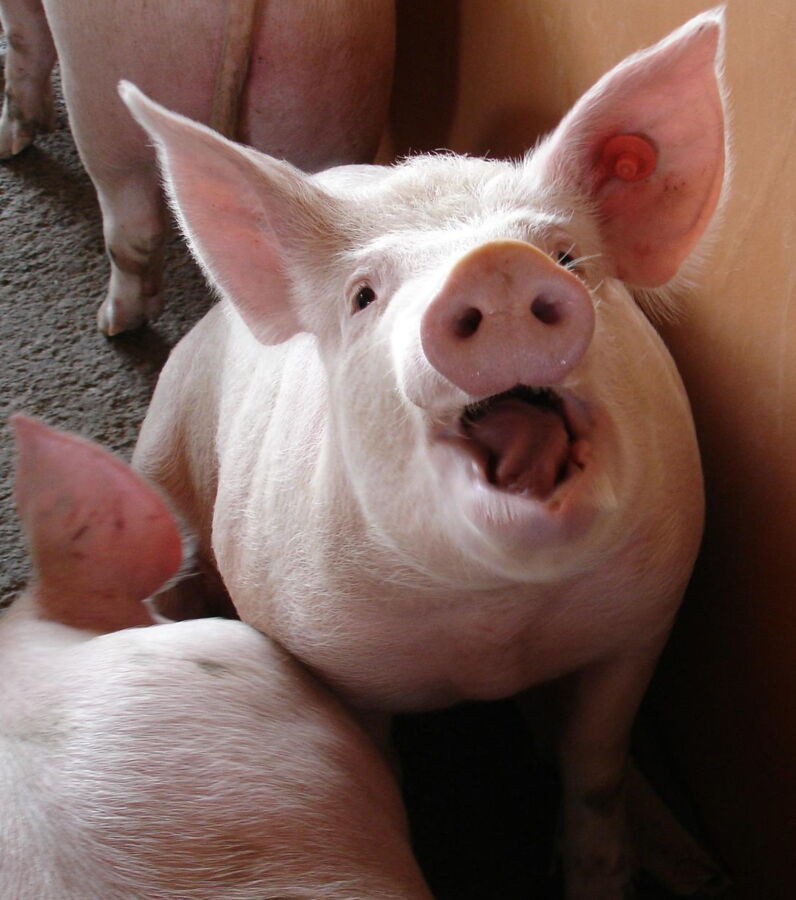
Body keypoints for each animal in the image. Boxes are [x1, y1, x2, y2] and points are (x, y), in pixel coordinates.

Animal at [0, 0, 395, 335]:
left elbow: (21, 35)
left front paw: (10, 145)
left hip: (103, 95)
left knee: (133, 232)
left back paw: (111, 323)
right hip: (321, 92)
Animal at [126, 10, 728, 899]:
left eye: (567, 254)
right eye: (363, 296)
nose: (496, 267)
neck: (494, 621)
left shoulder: (650, 611)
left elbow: (595, 759)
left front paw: (599, 876)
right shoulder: (321, 655)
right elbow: (376, 776)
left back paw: (696, 865)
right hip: (160, 456)